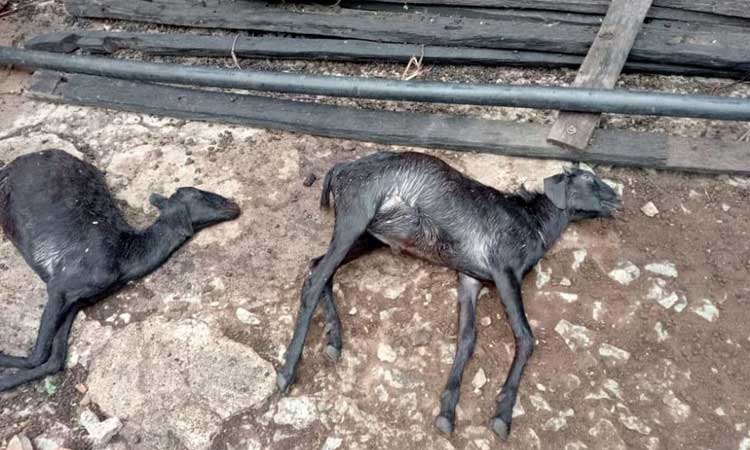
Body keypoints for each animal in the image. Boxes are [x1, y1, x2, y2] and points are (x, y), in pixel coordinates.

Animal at [0, 149, 240, 392]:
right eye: (198, 195)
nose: (233, 204)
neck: (125, 256)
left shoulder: (76, 300)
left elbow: (53, 360)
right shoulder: (60, 286)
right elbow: (38, 356)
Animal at [277, 151, 619, 439]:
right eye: (589, 179)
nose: (618, 197)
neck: (533, 223)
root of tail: (341, 170)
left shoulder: (470, 278)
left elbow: (467, 338)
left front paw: (446, 412)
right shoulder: (505, 269)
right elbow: (525, 337)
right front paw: (502, 415)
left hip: (371, 236)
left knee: (318, 267)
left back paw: (334, 341)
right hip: (354, 216)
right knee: (315, 280)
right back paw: (287, 372)